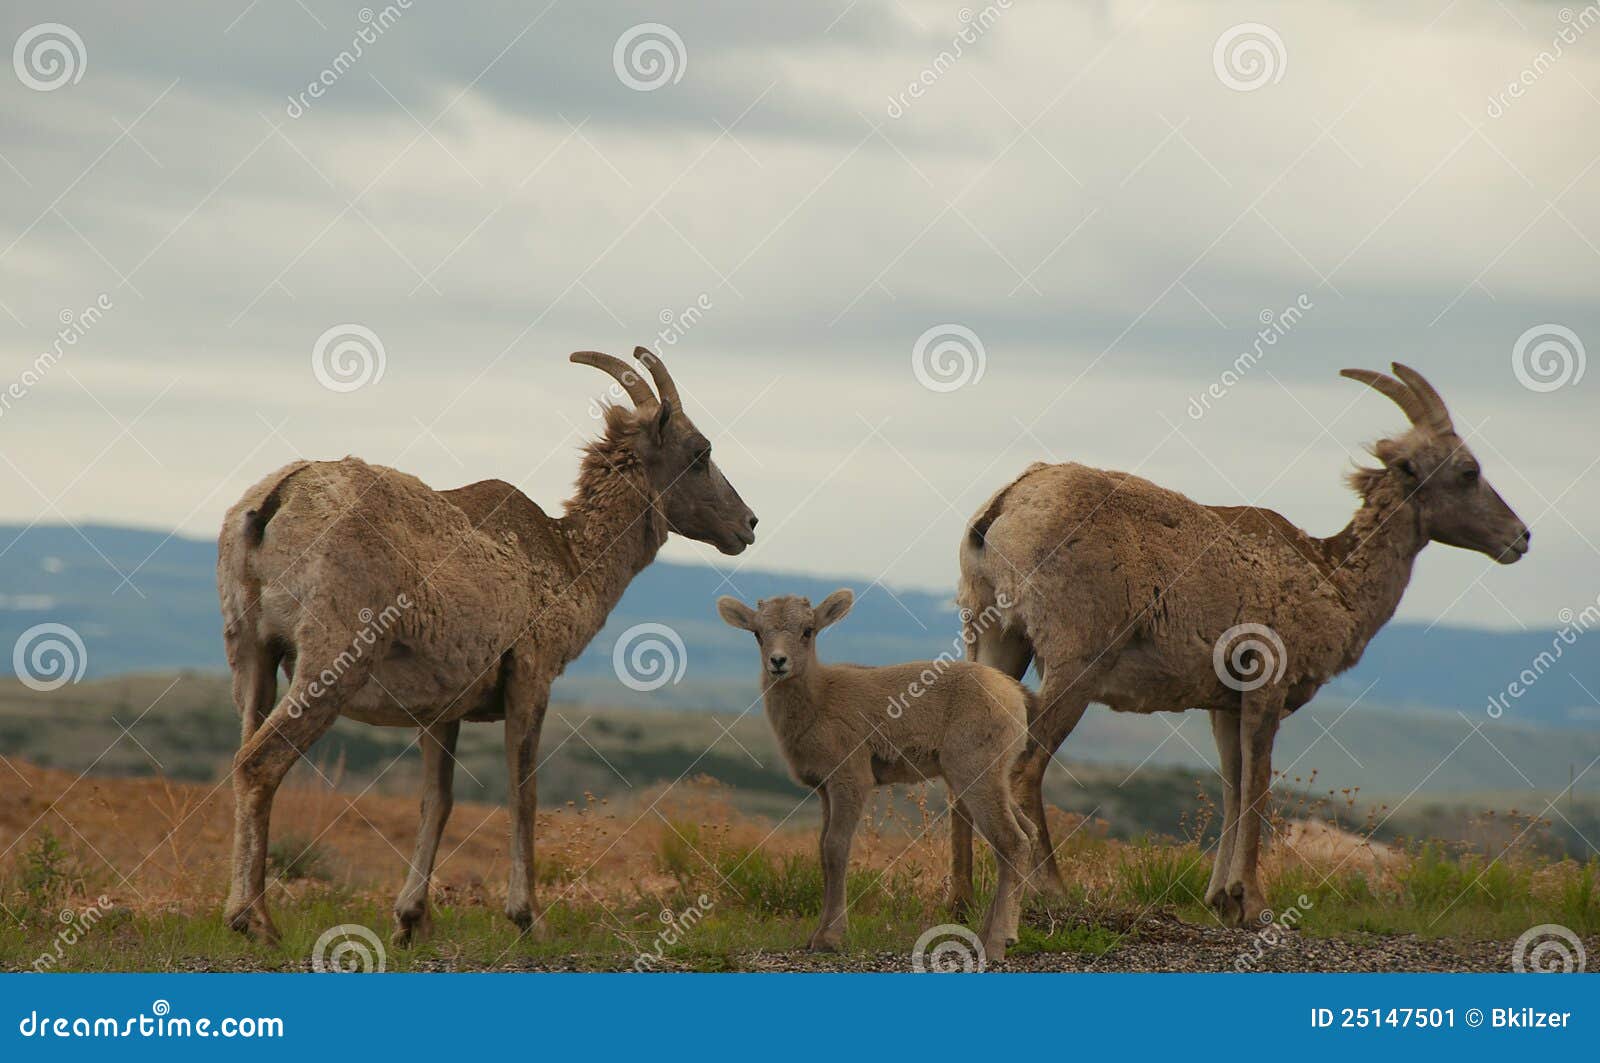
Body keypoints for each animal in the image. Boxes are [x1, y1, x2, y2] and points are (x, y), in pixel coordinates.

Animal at [216, 348, 757, 944]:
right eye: (699, 452)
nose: (748, 525)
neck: (569, 563)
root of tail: (275, 503)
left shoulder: (439, 713)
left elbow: (438, 802)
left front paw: (410, 922)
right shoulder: (530, 679)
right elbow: (524, 795)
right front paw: (528, 919)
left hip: (253, 659)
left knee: (244, 755)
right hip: (329, 665)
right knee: (259, 764)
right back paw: (256, 921)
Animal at [716, 588, 1035, 961]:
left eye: (808, 630)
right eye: (757, 632)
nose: (778, 662)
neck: (818, 702)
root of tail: (1014, 698)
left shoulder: (851, 780)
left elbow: (836, 847)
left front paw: (830, 939)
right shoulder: (825, 789)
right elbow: (822, 849)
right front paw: (815, 936)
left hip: (976, 776)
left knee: (1011, 842)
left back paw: (995, 943)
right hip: (991, 780)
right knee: (1026, 835)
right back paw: (998, 934)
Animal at [953, 363, 1529, 927]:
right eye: (1468, 471)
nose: (1520, 538)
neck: (1333, 581)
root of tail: (1002, 512)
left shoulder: (1223, 707)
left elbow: (1232, 787)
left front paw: (1220, 899)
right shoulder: (1265, 690)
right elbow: (1257, 788)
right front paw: (1251, 903)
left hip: (995, 643)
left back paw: (961, 898)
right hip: (1076, 666)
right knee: (1026, 770)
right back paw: (1052, 892)